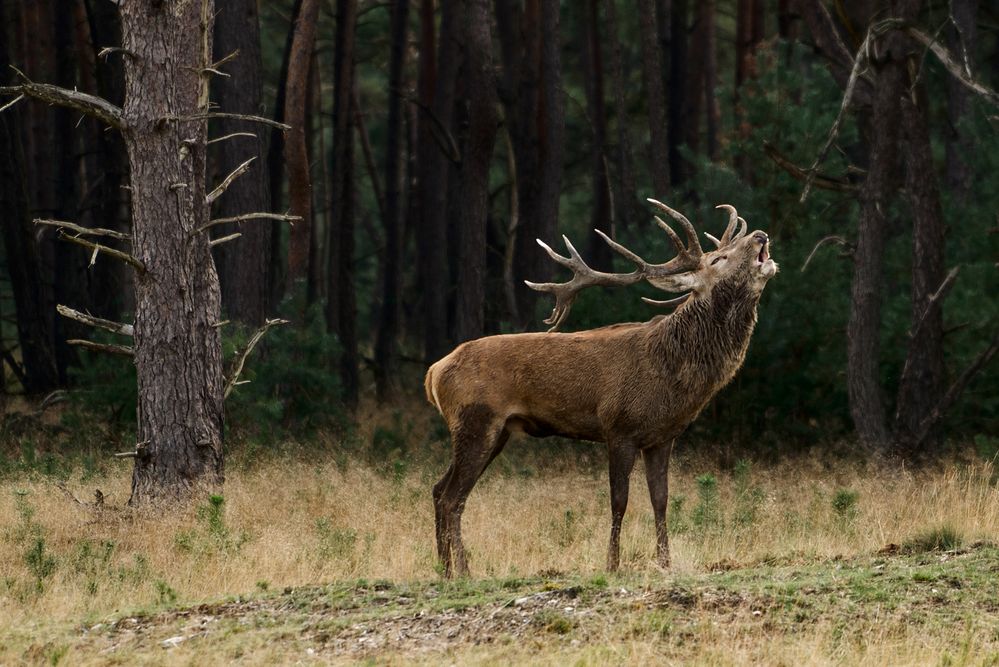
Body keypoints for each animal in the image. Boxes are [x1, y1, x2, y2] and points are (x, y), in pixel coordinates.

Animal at [425, 199, 778, 577]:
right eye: (718, 259)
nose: (760, 234)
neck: (673, 374)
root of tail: (434, 372)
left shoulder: (662, 437)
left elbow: (661, 500)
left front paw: (665, 563)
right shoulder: (618, 427)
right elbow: (619, 500)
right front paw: (612, 564)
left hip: (495, 430)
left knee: (440, 490)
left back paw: (448, 570)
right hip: (477, 421)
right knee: (453, 497)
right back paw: (462, 571)